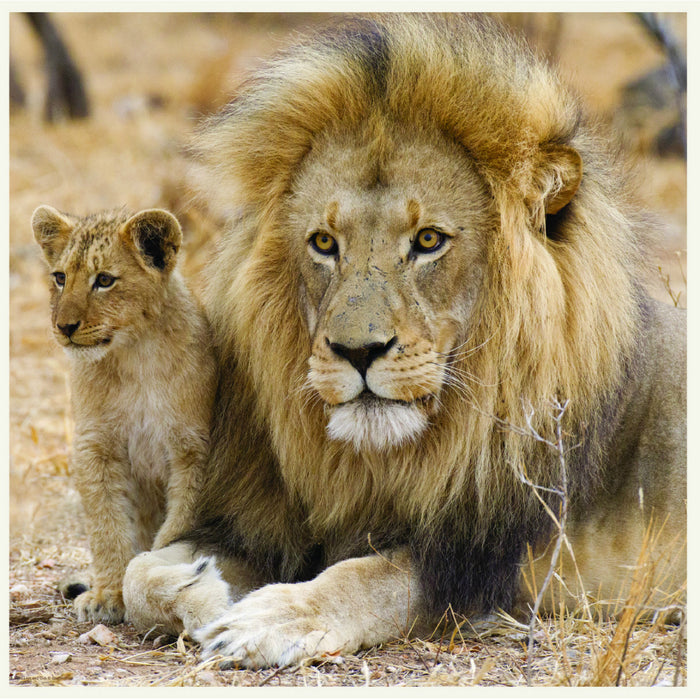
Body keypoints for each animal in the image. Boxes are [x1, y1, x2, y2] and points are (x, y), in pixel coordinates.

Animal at [33, 206, 216, 623]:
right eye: (60, 277)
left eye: (104, 280)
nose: (64, 327)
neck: (136, 355)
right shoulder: (96, 445)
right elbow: (107, 525)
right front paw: (107, 594)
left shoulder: (194, 450)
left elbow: (177, 525)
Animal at [123, 14, 686, 667]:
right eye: (323, 243)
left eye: (428, 240)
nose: (358, 352)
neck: (387, 462)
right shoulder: (267, 523)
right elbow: (138, 572)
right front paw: (204, 592)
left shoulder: (490, 561)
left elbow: (370, 577)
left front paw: (273, 617)